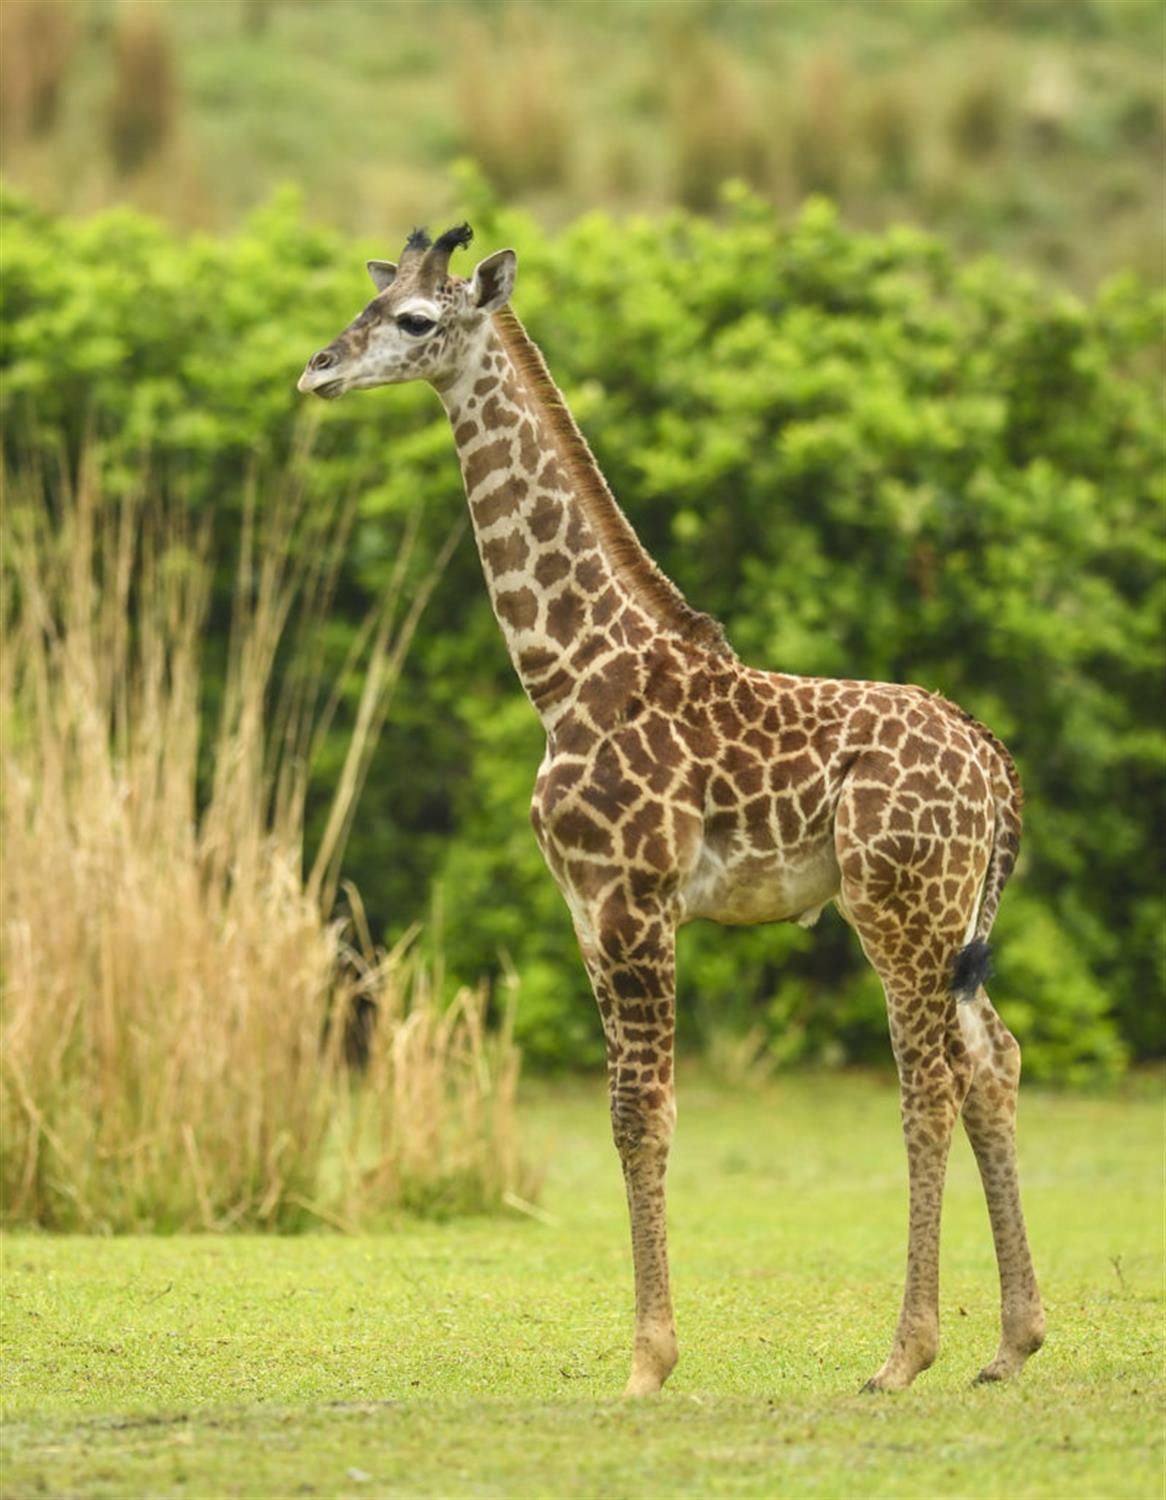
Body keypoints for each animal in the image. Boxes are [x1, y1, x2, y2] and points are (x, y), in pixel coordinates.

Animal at [298, 223, 1045, 1397]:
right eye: (367, 306)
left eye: (415, 319)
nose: (319, 370)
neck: (566, 672)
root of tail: (994, 765)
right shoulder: (583, 911)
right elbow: (627, 1113)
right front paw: (649, 1350)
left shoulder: (631, 899)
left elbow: (638, 1114)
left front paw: (648, 1361)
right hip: (947, 915)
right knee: (994, 1062)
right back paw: (1010, 1343)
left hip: (898, 906)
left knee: (930, 1078)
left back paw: (903, 1354)